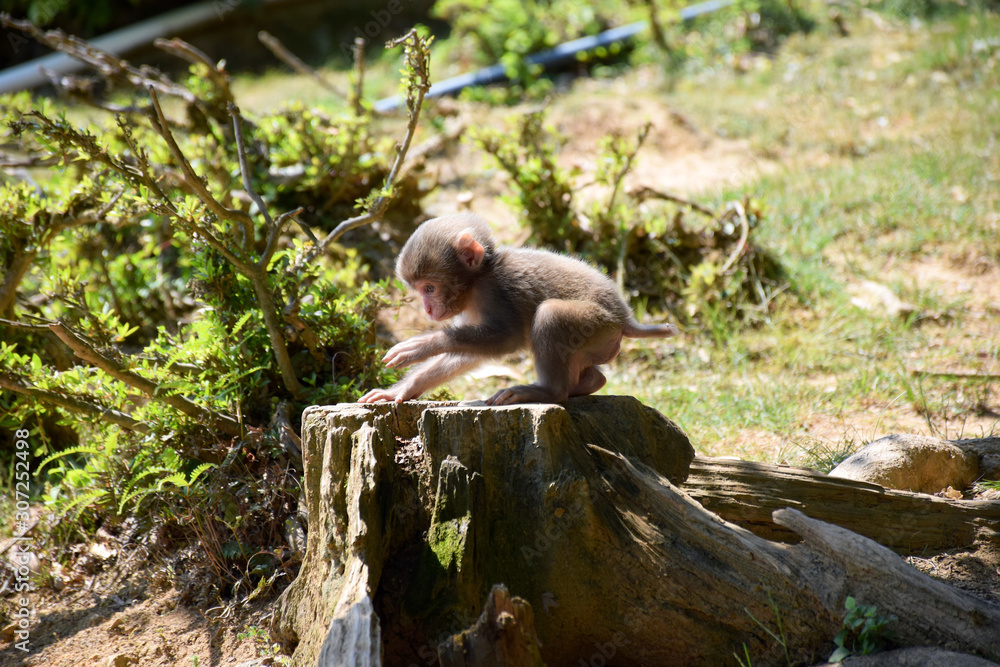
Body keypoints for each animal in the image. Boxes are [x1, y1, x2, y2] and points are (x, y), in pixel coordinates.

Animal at [357, 212, 677, 406]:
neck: (480, 277)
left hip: (599, 325)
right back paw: (589, 382)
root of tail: (625, 317)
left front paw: (424, 344)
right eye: (420, 290)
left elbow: (507, 339)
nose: (427, 310)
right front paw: (401, 390)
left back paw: (548, 392)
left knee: (550, 314)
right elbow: (468, 354)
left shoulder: (497, 292)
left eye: (430, 288)